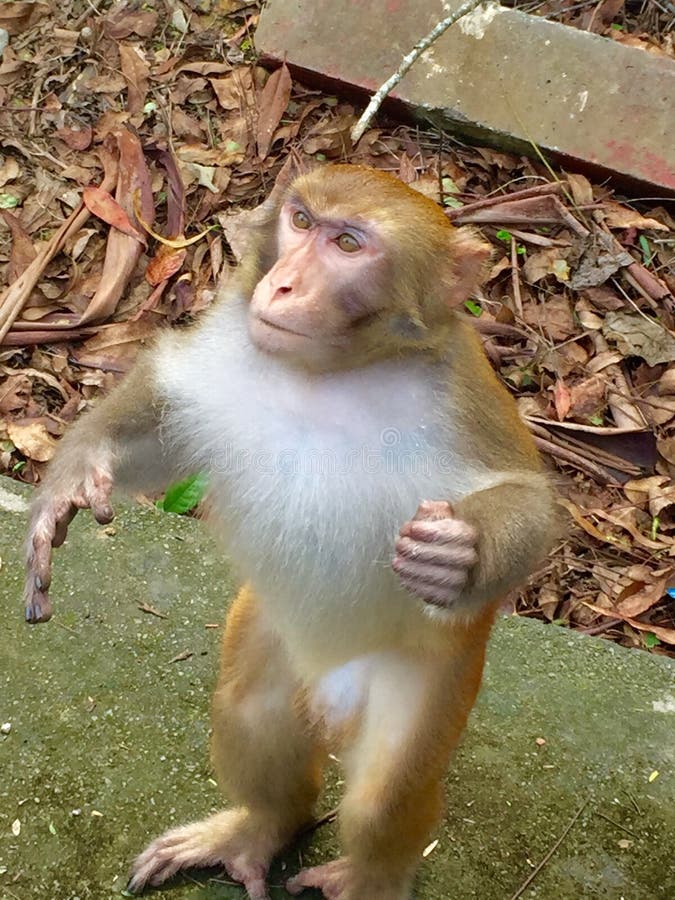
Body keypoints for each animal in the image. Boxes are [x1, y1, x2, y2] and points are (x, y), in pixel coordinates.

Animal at [23, 163, 557, 900]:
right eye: (301, 222)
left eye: (349, 244)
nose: (282, 284)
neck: (330, 374)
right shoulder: (230, 339)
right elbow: (165, 423)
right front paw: (72, 478)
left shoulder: (459, 392)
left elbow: (531, 504)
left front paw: (463, 554)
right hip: (272, 633)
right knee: (254, 713)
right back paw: (259, 830)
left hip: (434, 671)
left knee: (383, 795)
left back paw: (368, 877)